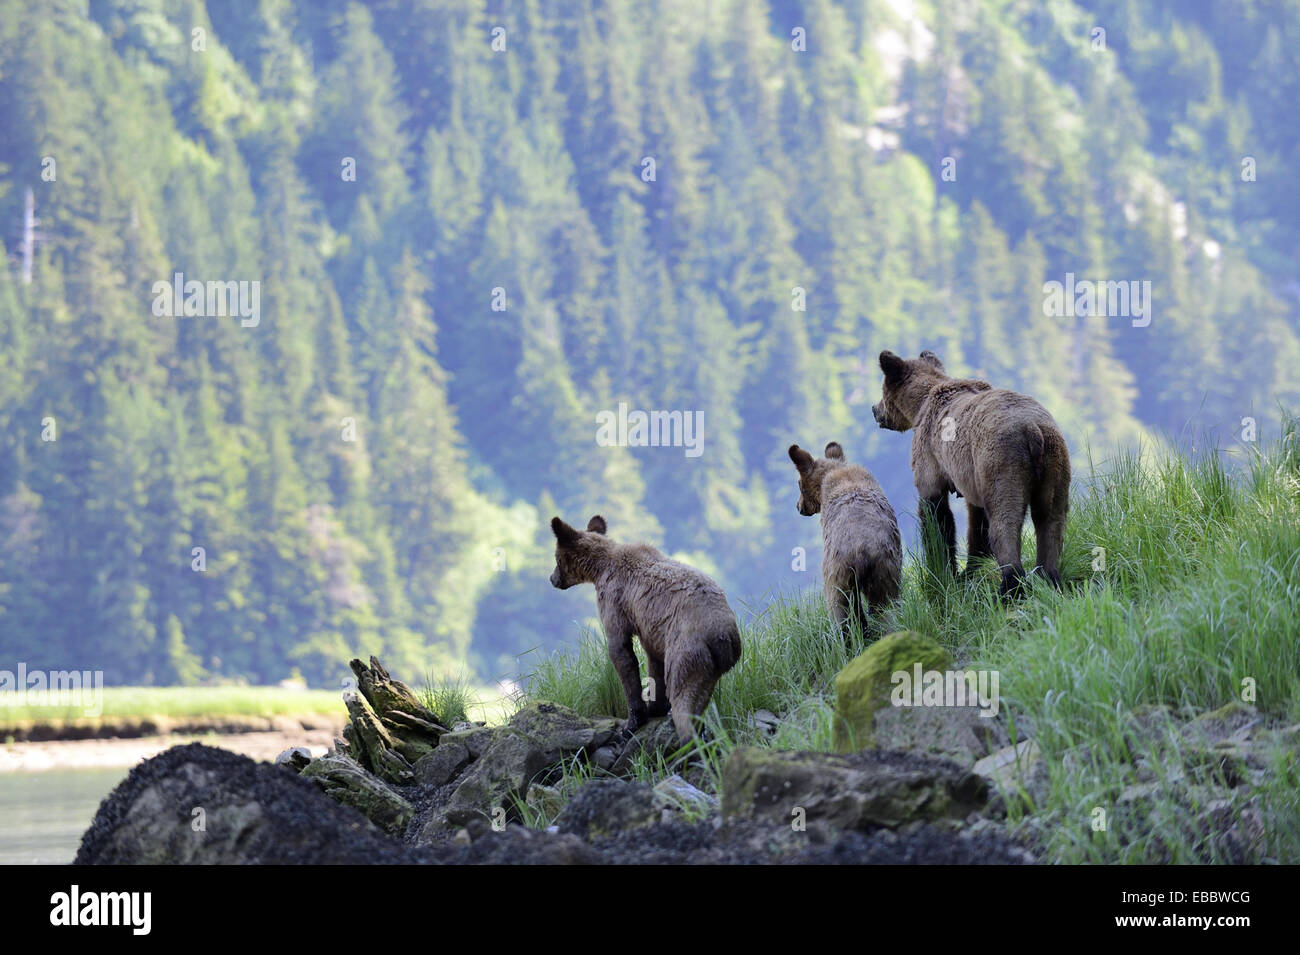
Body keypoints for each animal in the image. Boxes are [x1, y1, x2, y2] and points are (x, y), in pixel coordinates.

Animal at [549, 514, 742, 743]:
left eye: (556, 558)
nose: (552, 579)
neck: (600, 569)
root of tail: (723, 637)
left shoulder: (615, 602)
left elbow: (621, 653)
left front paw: (632, 722)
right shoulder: (653, 629)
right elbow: (654, 664)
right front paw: (655, 708)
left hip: (687, 651)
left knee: (683, 697)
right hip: (713, 665)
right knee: (698, 700)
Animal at [788, 441, 902, 638]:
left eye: (799, 484)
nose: (799, 506)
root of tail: (861, 553)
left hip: (837, 577)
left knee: (842, 615)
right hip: (884, 572)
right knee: (885, 610)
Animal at [872, 349, 1070, 596]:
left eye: (882, 391)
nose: (874, 410)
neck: (920, 406)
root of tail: (1033, 430)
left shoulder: (932, 456)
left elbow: (936, 512)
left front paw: (942, 570)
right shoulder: (971, 476)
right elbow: (976, 520)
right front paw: (969, 569)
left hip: (1003, 460)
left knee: (1005, 520)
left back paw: (1010, 587)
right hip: (1055, 461)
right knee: (1051, 517)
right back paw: (1050, 577)